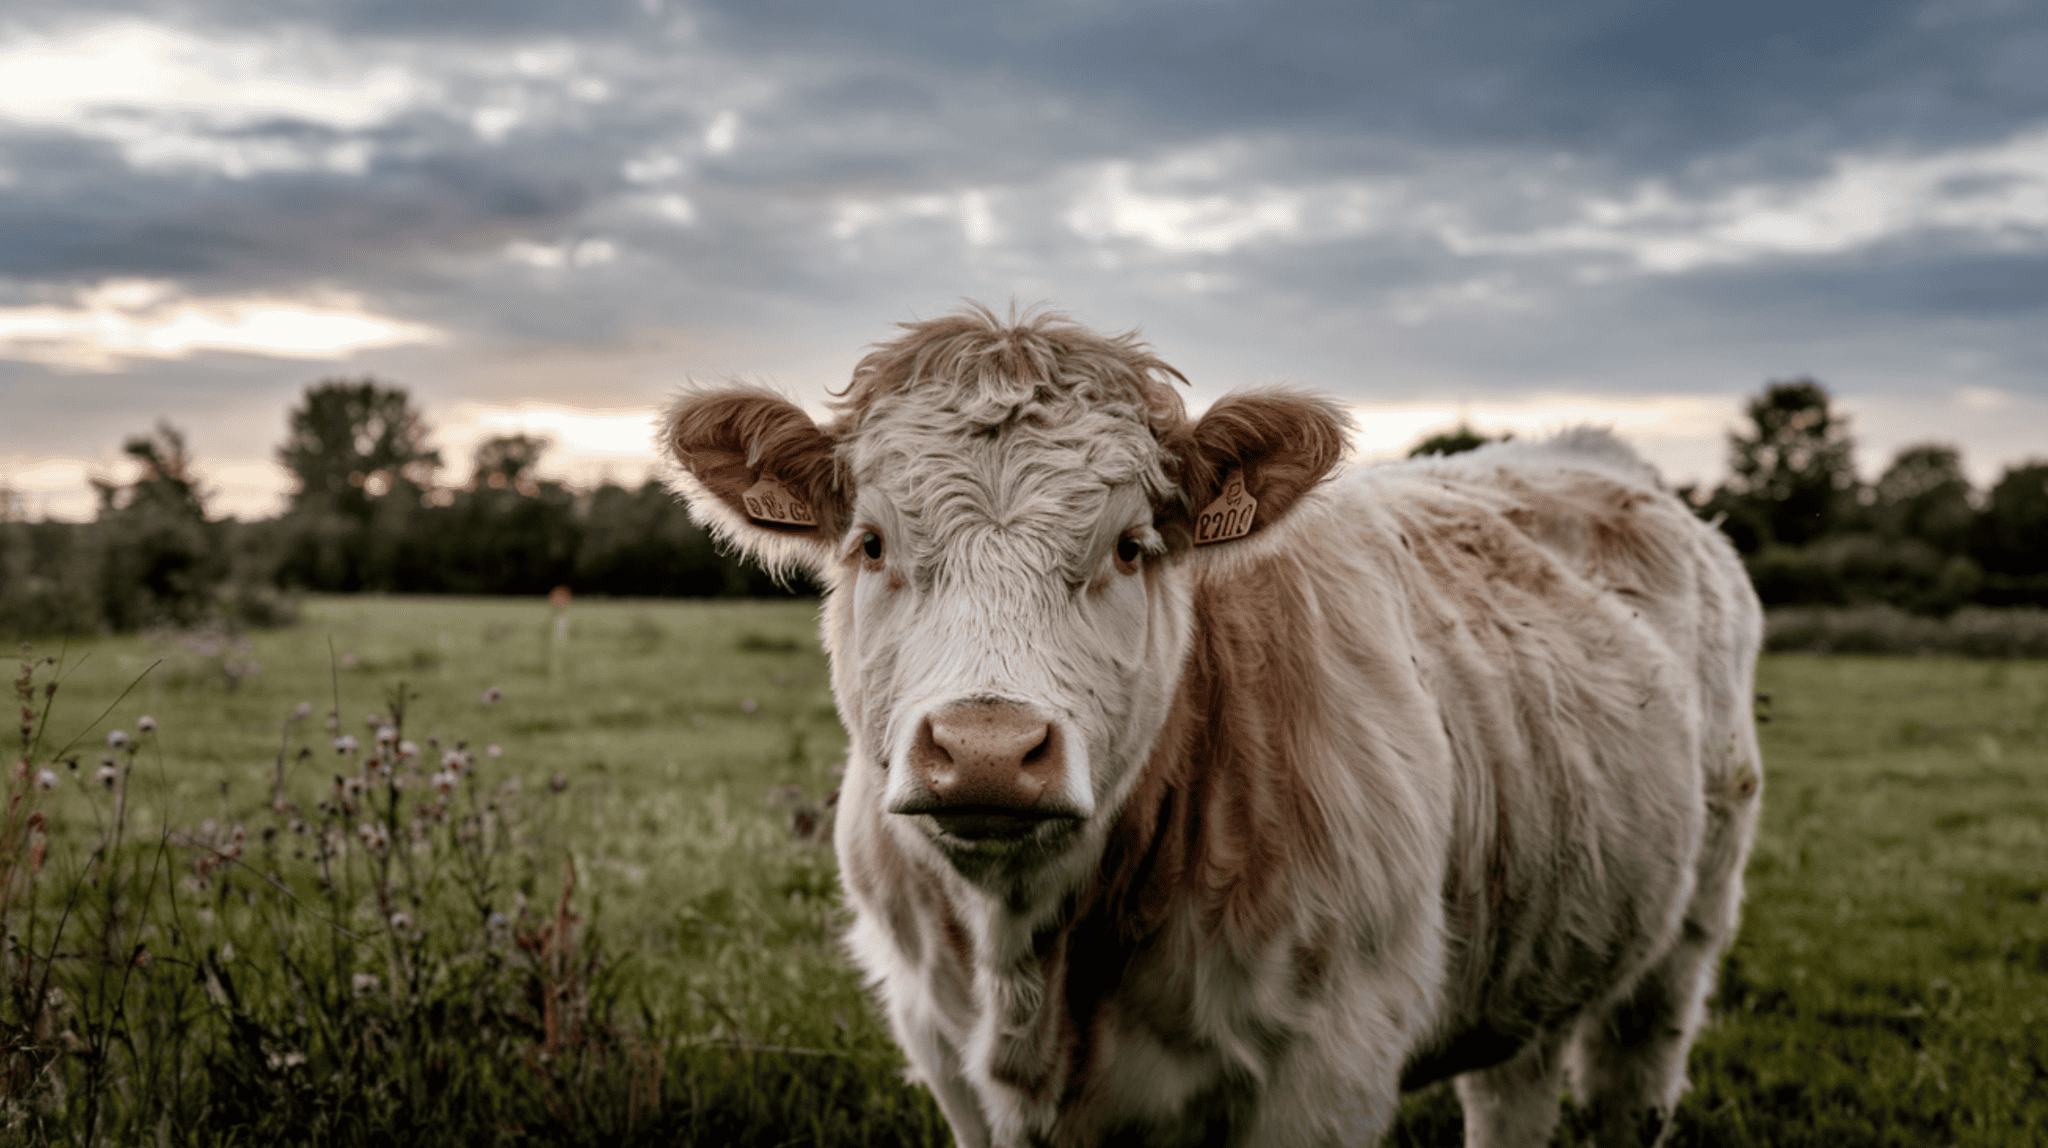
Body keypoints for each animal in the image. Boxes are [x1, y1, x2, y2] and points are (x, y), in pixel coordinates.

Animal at [660, 306, 1764, 1148]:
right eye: (872, 543)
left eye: (1130, 545)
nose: (985, 750)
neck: (1033, 968)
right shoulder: (945, 1052)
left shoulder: (1329, 1066)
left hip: (1683, 940)